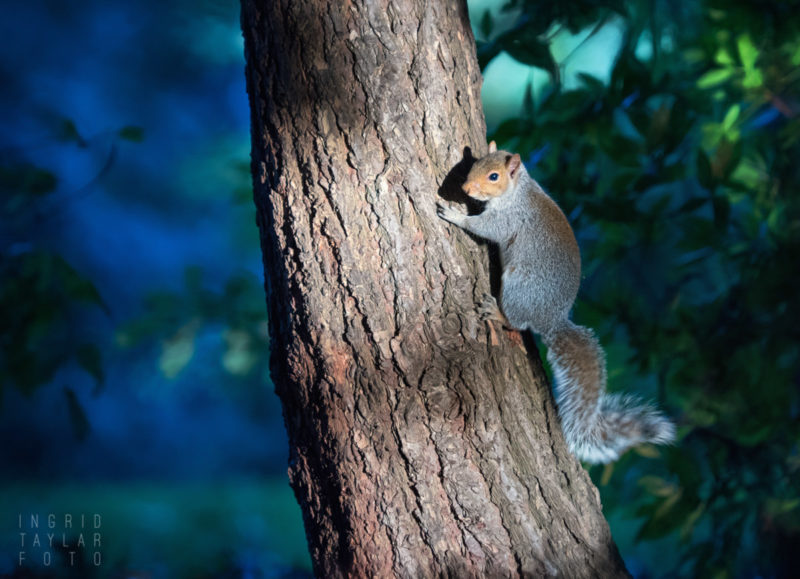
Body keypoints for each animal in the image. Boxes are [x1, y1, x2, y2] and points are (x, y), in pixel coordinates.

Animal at [437, 141, 675, 463]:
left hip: (518, 286)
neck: (517, 192)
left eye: (494, 176)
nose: (465, 188)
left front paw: (455, 215)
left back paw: (497, 313)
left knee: (517, 322)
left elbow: (486, 228)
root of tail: (551, 320)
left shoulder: (509, 219)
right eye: (474, 164)